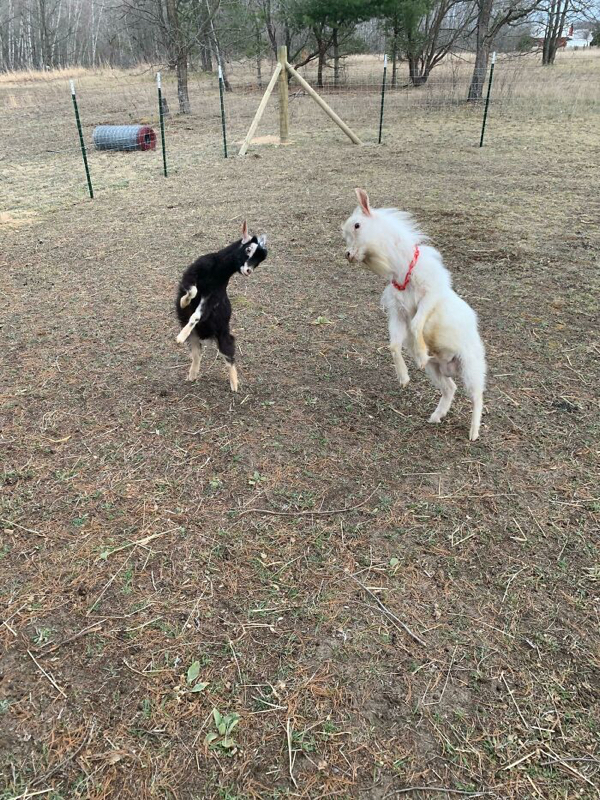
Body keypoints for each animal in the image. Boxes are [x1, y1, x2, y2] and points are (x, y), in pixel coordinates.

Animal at [175, 221, 268, 392]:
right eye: (248, 249)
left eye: (260, 260)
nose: (248, 271)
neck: (218, 271)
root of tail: (208, 335)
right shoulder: (192, 273)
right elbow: (192, 291)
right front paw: (183, 303)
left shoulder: (212, 297)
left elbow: (197, 315)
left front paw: (180, 336)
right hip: (195, 336)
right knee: (198, 353)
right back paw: (192, 376)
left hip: (223, 335)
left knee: (229, 355)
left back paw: (234, 384)